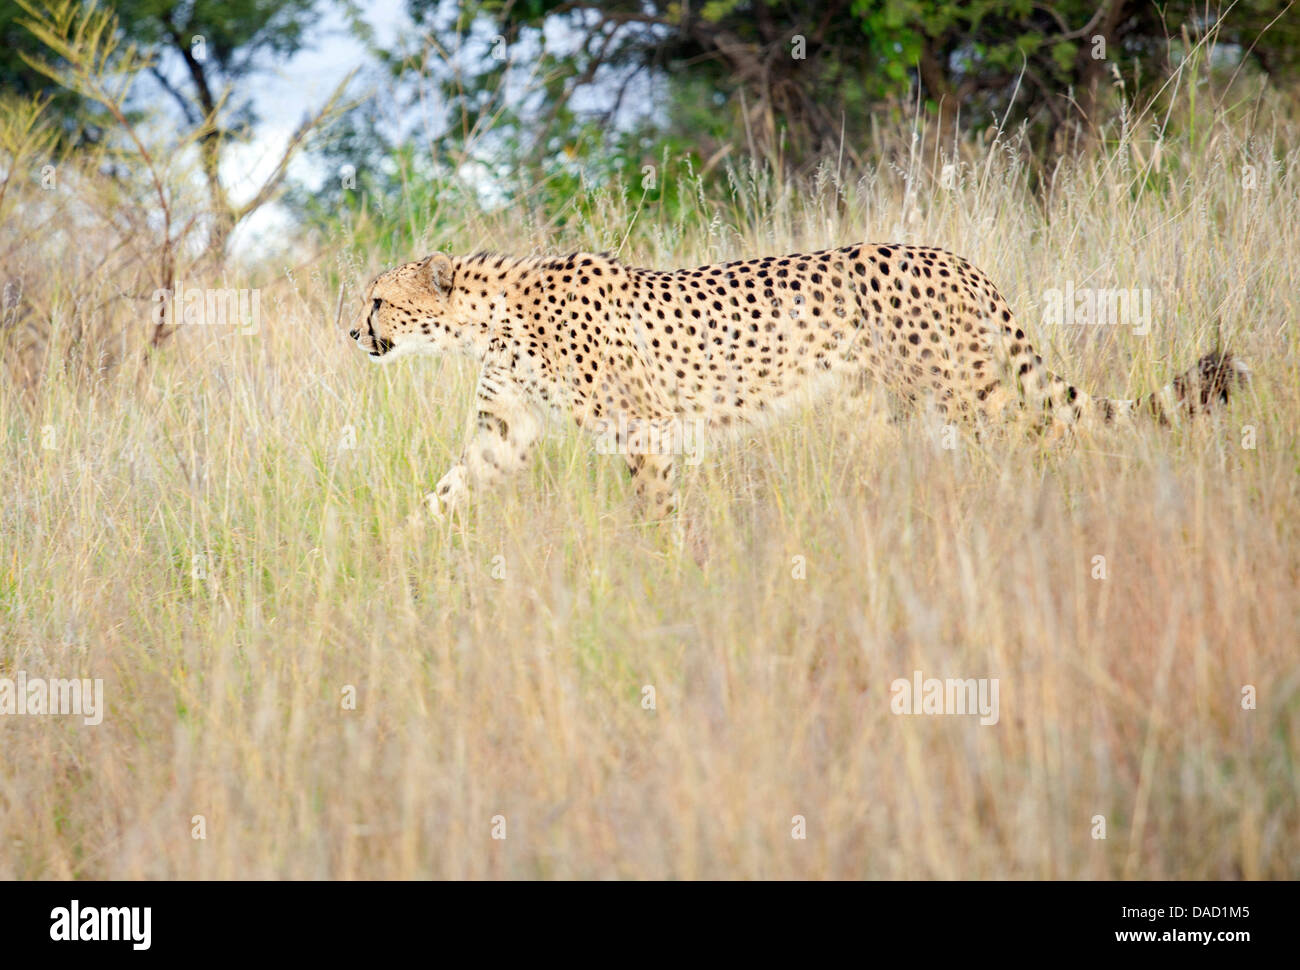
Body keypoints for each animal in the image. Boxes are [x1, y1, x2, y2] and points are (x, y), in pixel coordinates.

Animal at [347, 245, 1249, 519]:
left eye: (379, 299)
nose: (354, 333)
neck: (491, 312)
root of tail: (951, 255)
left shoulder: (648, 429)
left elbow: (656, 507)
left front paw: (664, 567)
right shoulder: (505, 433)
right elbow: (448, 490)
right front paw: (402, 553)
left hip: (971, 394)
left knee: (1049, 438)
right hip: (889, 413)